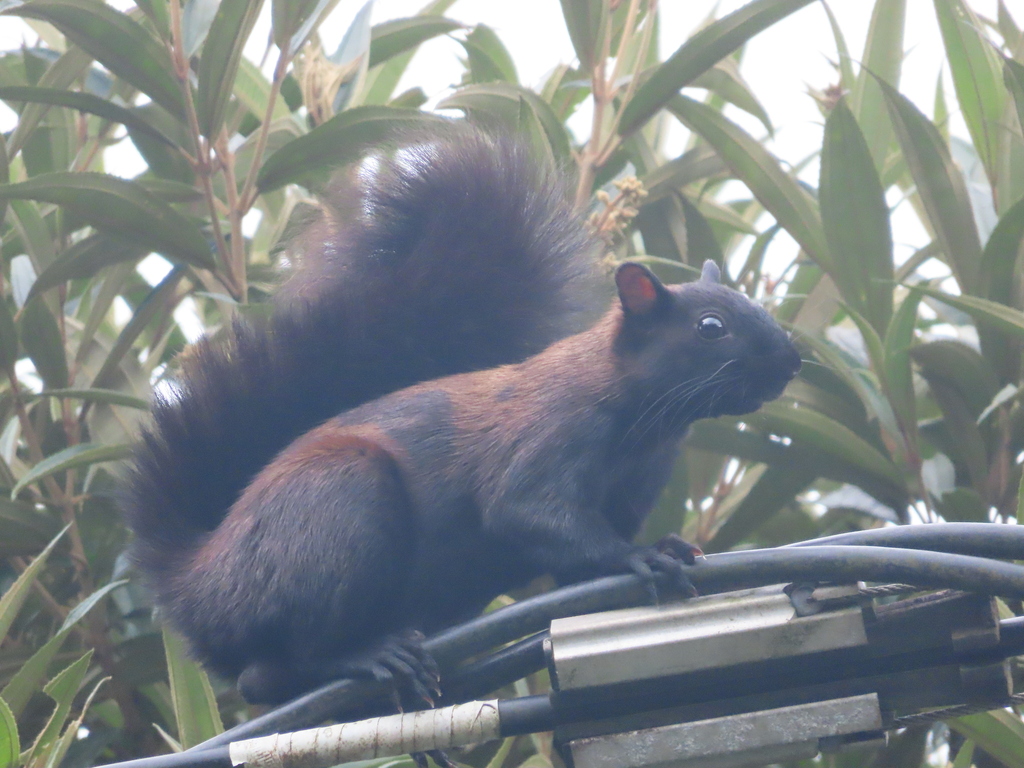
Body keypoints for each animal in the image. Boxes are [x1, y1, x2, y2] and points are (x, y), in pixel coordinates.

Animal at [121, 124, 802, 706]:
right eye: (710, 327)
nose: (792, 361)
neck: (645, 422)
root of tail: (195, 581)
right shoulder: (547, 436)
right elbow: (530, 513)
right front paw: (637, 558)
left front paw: (665, 544)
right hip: (337, 504)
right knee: (281, 664)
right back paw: (367, 656)